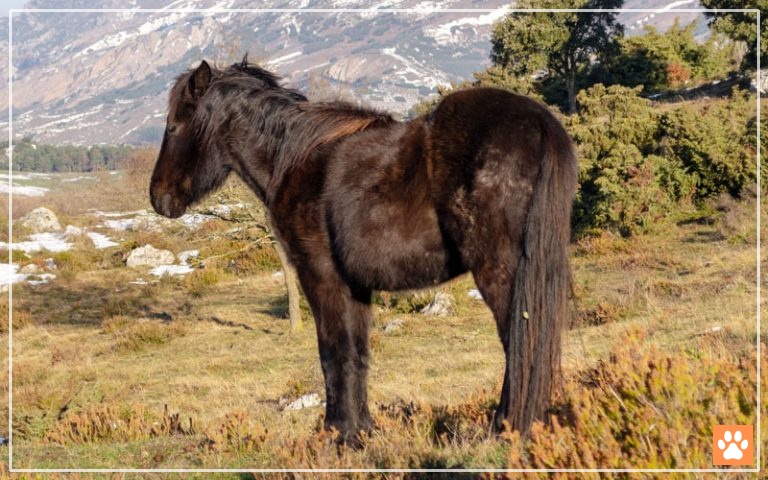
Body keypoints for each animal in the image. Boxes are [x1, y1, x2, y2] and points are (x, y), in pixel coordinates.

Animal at [149, 56, 577, 443]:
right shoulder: (355, 285)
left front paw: (338, 434)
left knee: (520, 342)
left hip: (499, 271)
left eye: (174, 125)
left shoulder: (320, 276)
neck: (293, 156)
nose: (158, 197)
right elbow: (357, 354)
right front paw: (362, 431)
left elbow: (332, 353)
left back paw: (507, 428)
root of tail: (538, 123)